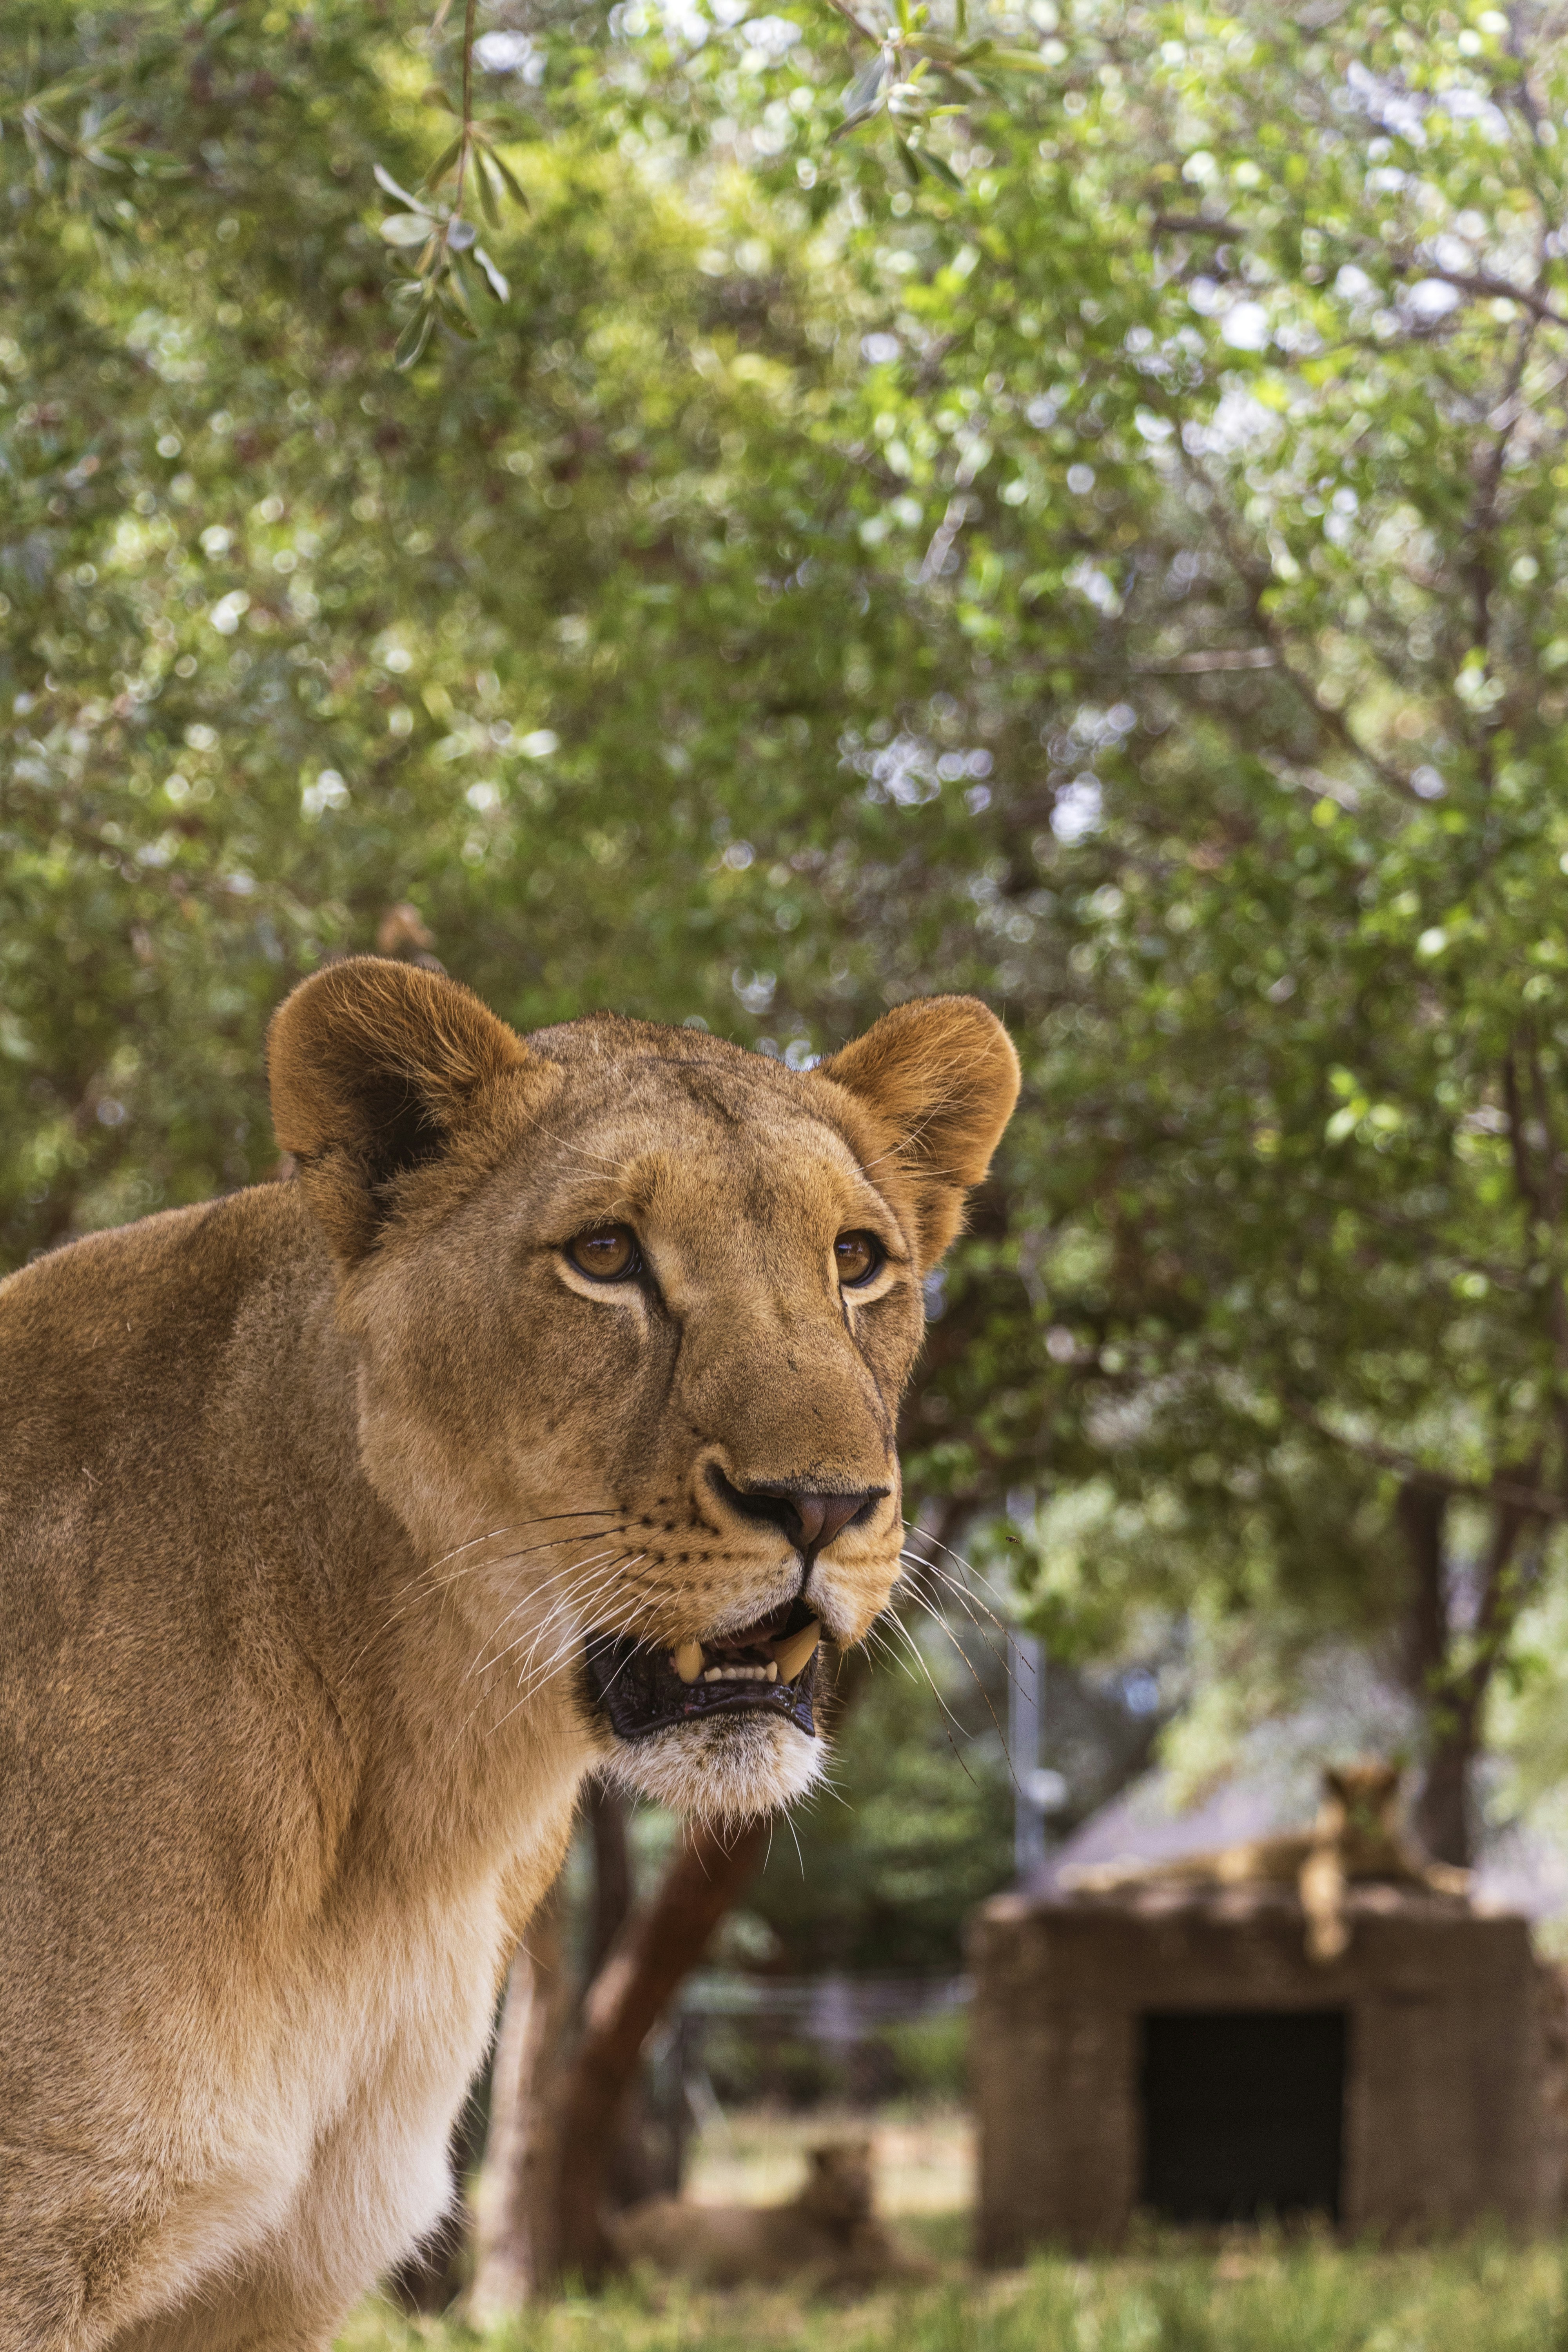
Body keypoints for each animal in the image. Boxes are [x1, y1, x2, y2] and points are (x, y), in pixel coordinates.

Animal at [612, 2138, 933, 2291]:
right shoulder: (831, 2266)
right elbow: (907, 2269)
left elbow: (924, 2260)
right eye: (843, 2180)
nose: (864, 2204)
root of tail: (624, 2224)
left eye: (868, 2177)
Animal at [1062, 1760, 1470, 1962]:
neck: (1372, 1849)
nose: (1363, 1823)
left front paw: (1459, 1881)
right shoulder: (1319, 1868)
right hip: (1198, 1866)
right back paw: (1082, 1880)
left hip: (1212, 1878)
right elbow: (1327, 1899)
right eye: (1351, 1803)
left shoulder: (1410, 1865)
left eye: (1378, 1801)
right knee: (1138, 1872)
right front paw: (1329, 1942)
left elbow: (1435, 1869)